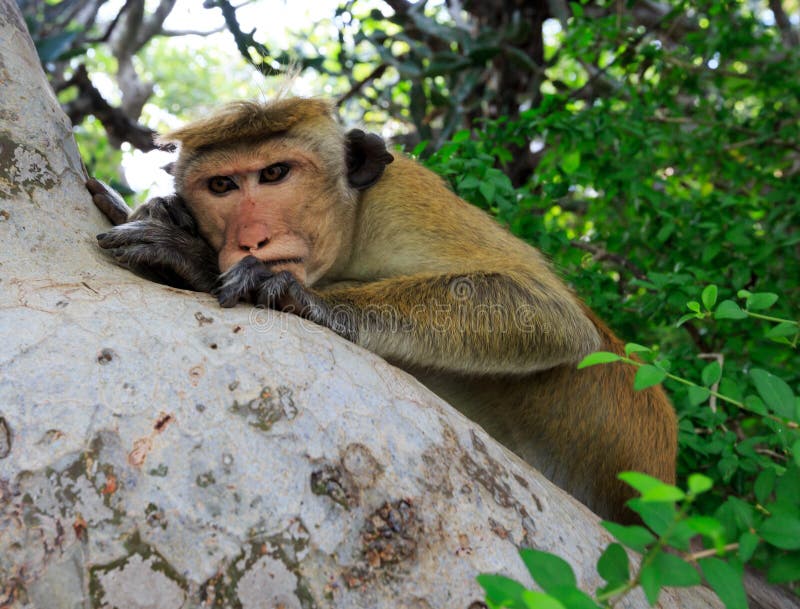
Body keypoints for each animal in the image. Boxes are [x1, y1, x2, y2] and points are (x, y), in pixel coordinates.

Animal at [88, 97, 677, 523]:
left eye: (275, 173)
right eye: (222, 185)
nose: (251, 238)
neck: (350, 236)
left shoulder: (406, 198)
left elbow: (544, 308)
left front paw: (238, 273)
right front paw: (169, 215)